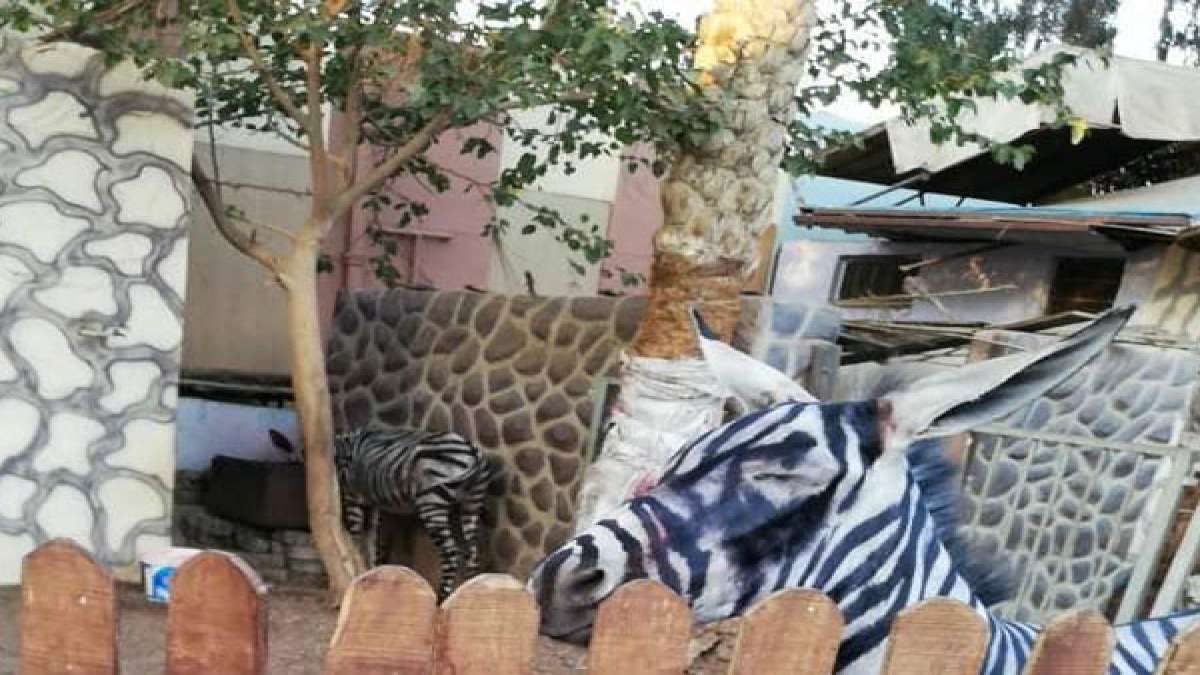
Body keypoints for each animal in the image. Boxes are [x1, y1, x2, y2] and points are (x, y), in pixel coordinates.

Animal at [333, 426, 497, 598]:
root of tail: (472, 452)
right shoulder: (375, 504)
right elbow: (374, 540)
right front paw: (371, 569)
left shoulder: (352, 495)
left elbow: (357, 535)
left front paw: (358, 569)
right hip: (472, 503)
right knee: (472, 553)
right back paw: (470, 590)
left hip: (431, 505)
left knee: (451, 554)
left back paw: (441, 597)